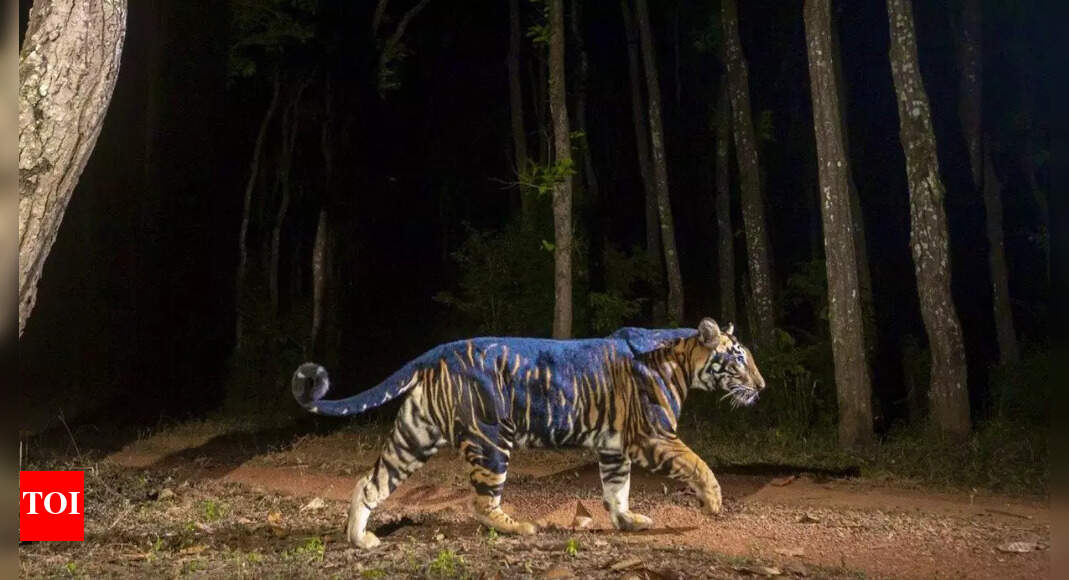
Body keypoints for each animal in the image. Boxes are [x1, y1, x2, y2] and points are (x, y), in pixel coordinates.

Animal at [290, 318, 766, 549]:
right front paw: (713, 502)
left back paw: (360, 540)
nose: (761, 387)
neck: (683, 360)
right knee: (482, 502)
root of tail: (440, 350)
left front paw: (628, 521)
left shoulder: (614, 447)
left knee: (371, 482)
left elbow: (617, 489)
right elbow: (698, 465)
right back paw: (519, 527)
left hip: (415, 435)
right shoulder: (653, 435)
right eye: (739, 359)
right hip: (490, 440)